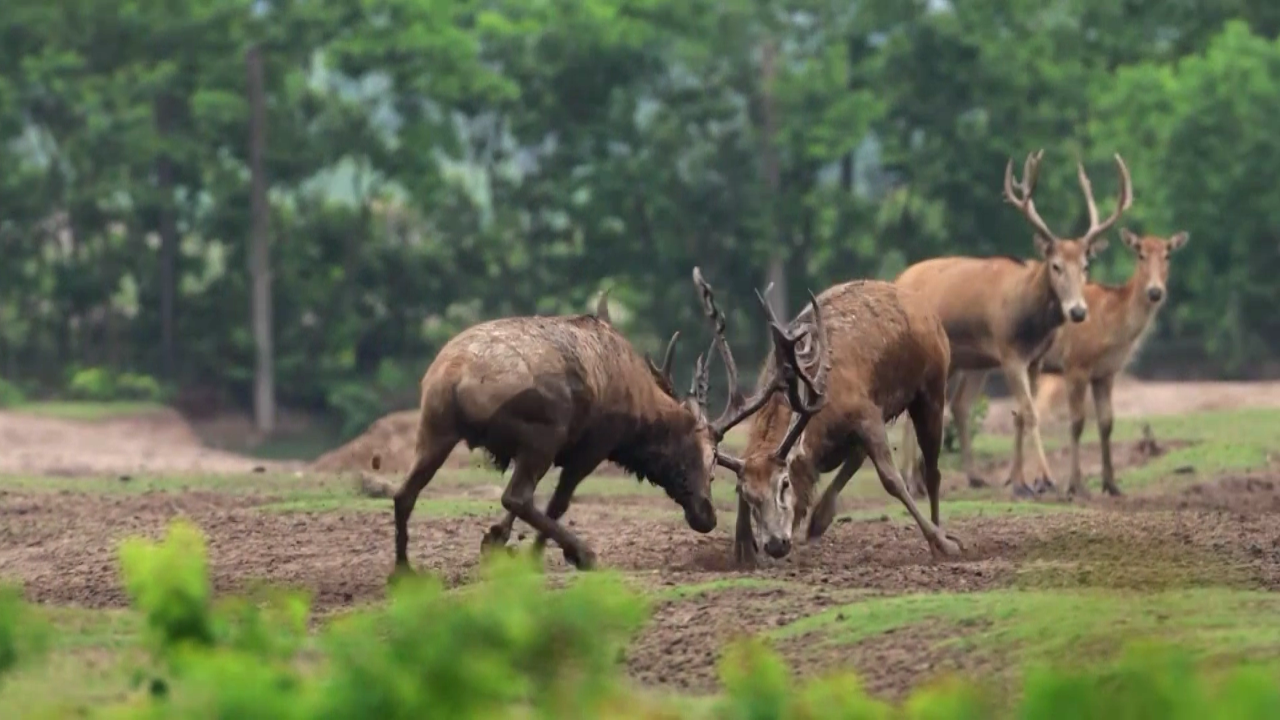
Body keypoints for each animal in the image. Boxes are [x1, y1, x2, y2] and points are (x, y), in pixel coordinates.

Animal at [391, 282, 784, 575]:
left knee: (404, 493)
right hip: (542, 432)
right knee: (517, 495)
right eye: (706, 459)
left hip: (435, 426)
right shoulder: (594, 445)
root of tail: (455, 377)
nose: (707, 516)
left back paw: (403, 572)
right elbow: (558, 502)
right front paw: (538, 553)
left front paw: (494, 539)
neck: (639, 415)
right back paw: (586, 553)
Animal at [692, 269, 962, 567]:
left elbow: (892, 480)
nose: (774, 543)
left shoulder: (867, 413)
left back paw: (941, 533)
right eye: (747, 494)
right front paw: (744, 549)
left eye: (784, 483)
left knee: (932, 471)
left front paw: (943, 543)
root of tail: (928, 311)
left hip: (932, 389)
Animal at [895, 150, 1133, 499]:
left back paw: (934, 479)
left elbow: (1020, 415)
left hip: (957, 362)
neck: (1029, 322)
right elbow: (1031, 413)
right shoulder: (1008, 353)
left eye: (1086, 265)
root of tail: (897, 279)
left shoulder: (1034, 360)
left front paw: (1021, 481)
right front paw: (1046, 479)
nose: (1077, 311)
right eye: (1055, 265)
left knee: (942, 408)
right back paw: (912, 482)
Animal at [1030, 229, 1189, 497]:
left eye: (1168, 254)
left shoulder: (1106, 372)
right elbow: (1077, 423)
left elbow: (1106, 423)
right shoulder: (1075, 364)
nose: (1155, 292)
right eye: (1140, 253)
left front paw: (1111, 485)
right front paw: (1075, 485)